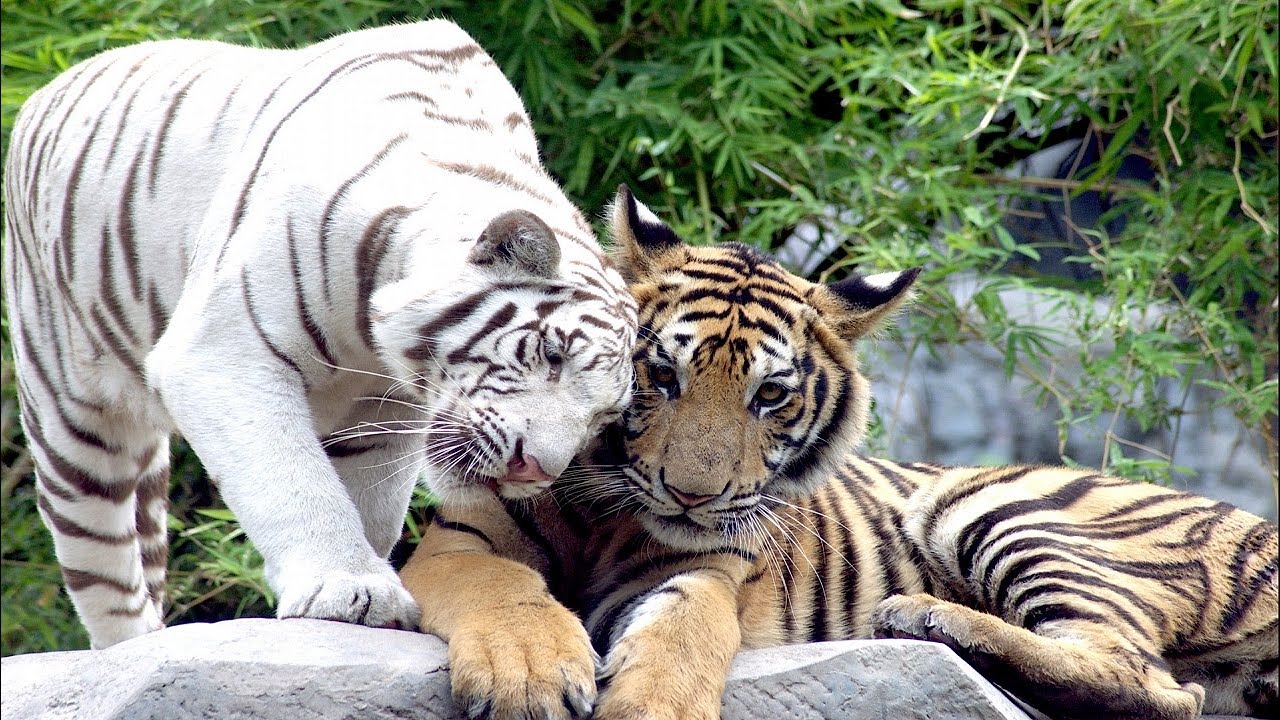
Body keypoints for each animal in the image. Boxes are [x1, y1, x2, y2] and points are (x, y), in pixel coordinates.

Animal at [2, 20, 636, 650]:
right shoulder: (224, 354)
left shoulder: (382, 413)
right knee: (103, 570)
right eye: (551, 354)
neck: (370, 336)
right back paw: (133, 647)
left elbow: (367, 503)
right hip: (72, 421)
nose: (537, 471)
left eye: (603, 419)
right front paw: (347, 589)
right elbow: (295, 482)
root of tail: (50, 84)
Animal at [400, 187, 1279, 720]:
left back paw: (927, 617)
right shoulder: (458, 543)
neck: (605, 514)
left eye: (770, 396)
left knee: (1149, 679)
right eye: (661, 374)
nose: (691, 495)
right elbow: (507, 590)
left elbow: (682, 638)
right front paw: (526, 678)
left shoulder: (704, 573)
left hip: (995, 505)